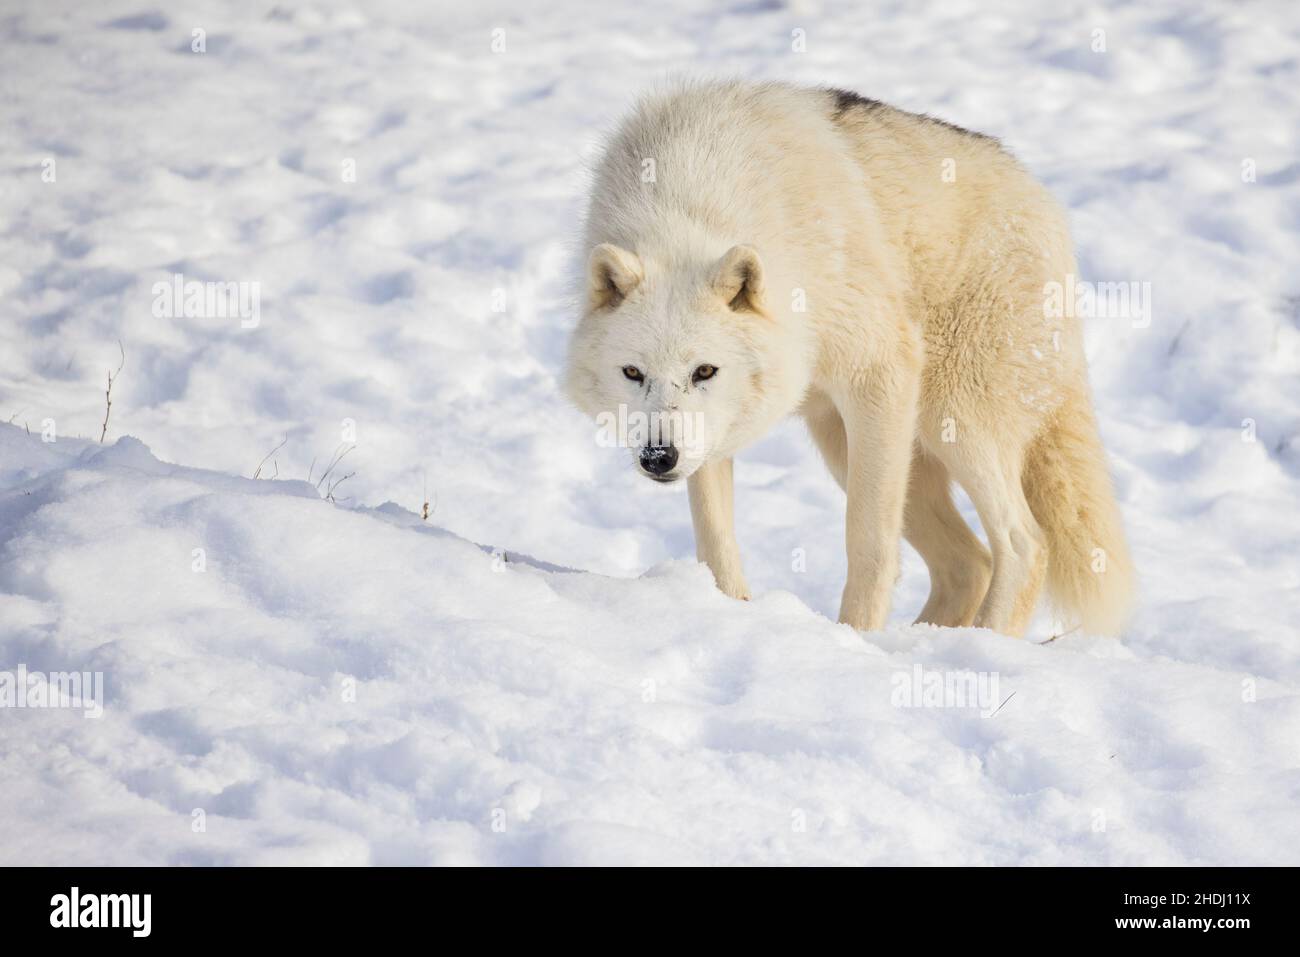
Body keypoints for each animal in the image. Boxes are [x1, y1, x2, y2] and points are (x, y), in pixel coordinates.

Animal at [564, 80, 1134, 637]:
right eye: (633, 373)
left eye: (704, 371)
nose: (659, 458)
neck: (690, 204)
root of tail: (1043, 199)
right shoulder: (712, 440)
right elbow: (715, 545)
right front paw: (731, 611)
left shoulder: (880, 371)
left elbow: (868, 543)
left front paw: (850, 638)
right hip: (852, 441)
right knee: (970, 563)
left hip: (950, 419)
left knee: (1022, 545)